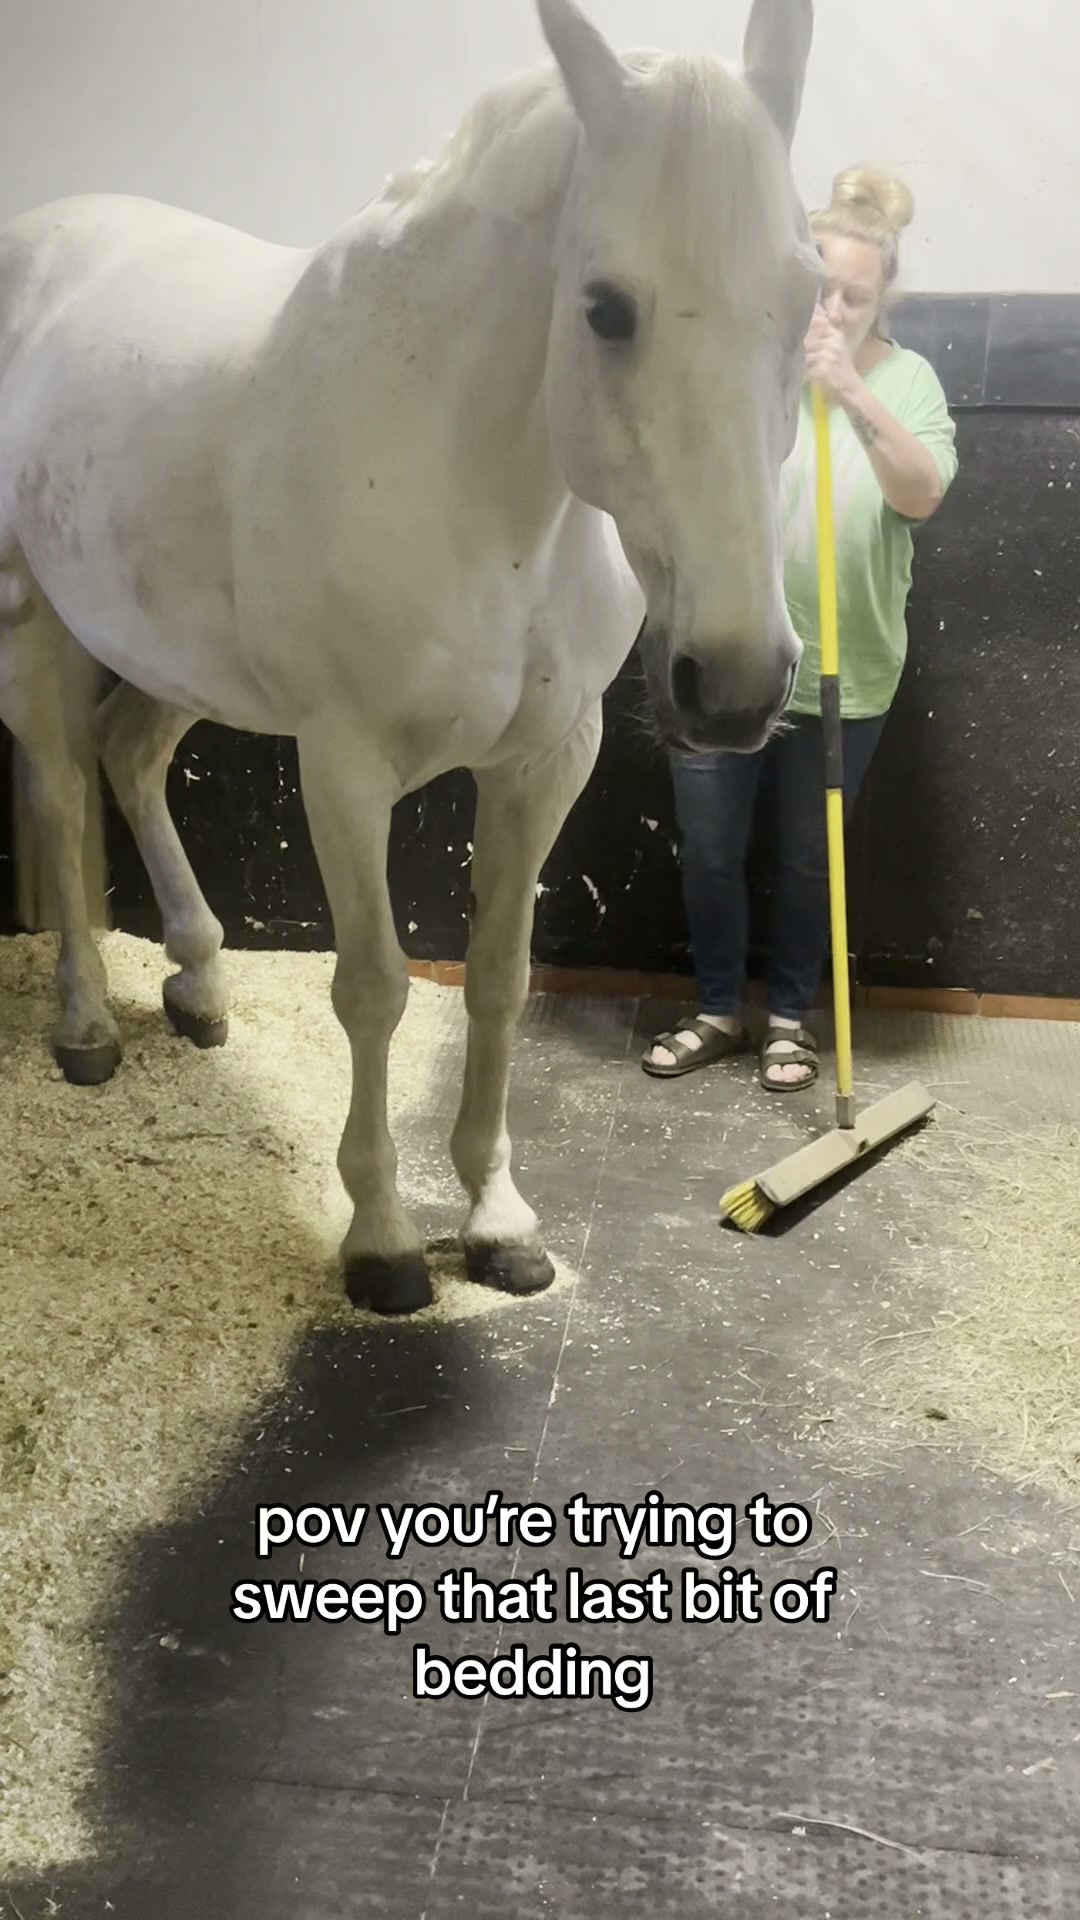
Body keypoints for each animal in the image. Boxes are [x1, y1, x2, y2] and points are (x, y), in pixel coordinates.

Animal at [0, 0, 819, 1315]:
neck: (478, 484)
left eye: (806, 299)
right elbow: (375, 987)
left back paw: (199, 984)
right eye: (605, 306)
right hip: (39, 622)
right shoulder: (344, 767)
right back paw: (86, 1029)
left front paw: (496, 1219)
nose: (735, 684)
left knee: (128, 759)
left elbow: (498, 976)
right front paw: (381, 1238)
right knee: (64, 788)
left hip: (173, 654)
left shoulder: (547, 761)